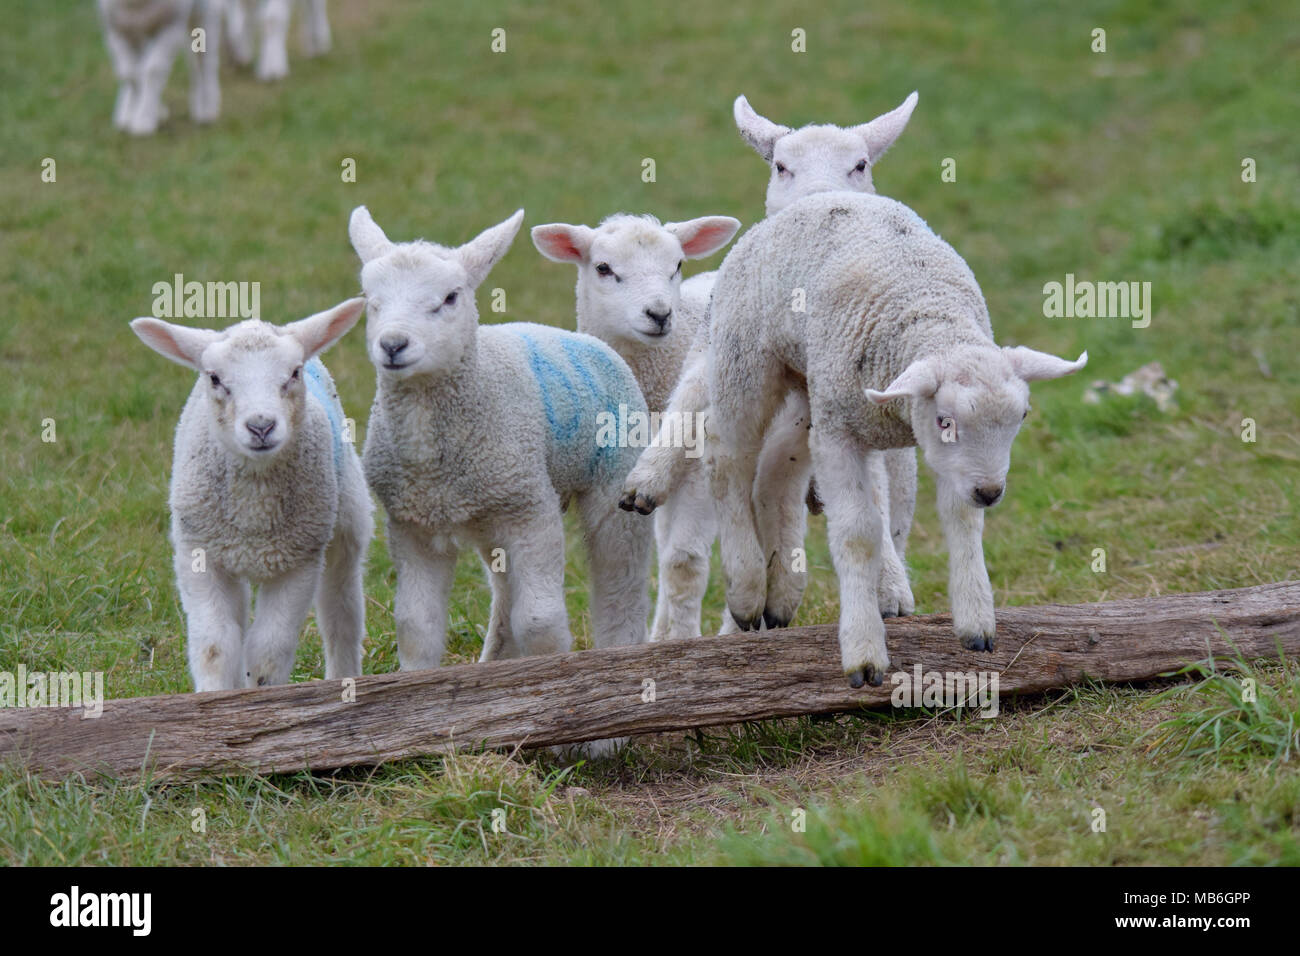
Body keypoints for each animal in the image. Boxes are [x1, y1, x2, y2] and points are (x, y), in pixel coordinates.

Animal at [98, 0, 223, 135]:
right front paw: (152, 112)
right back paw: (124, 113)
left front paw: (143, 120)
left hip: (205, 13)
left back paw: (207, 110)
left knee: (204, 62)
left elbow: (153, 70)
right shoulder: (115, 30)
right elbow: (128, 74)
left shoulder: (171, 25)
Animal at [130, 298, 373, 691]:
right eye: (214, 378)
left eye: (293, 372)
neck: (254, 509)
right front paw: (215, 695)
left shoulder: (299, 560)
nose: (261, 426)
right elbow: (215, 644)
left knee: (342, 617)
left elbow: (268, 650)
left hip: (347, 519)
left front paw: (261, 694)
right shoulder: (199, 555)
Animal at [348, 206, 652, 671]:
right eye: (370, 299)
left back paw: (621, 650)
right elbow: (416, 627)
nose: (393, 344)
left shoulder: (532, 514)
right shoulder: (412, 524)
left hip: (614, 483)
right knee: (507, 594)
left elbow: (540, 621)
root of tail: (588, 339)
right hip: (494, 514)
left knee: (621, 583)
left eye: (450, 297)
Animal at [530, 213, 740, 643]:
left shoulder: (697, 467)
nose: (659, 314)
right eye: (603, 268)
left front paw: (682, 641)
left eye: (677, 265)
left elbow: (684, 562)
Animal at [703, 192, 1087, 687]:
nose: (991, 492)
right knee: (725, 457)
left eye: (1022, 416)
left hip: (810, 388)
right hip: (745, 364)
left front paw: (975, 619)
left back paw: (781, 592)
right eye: (945, 421)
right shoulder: (838, 436)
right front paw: (864, 650)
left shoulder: (953, 464)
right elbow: (857, 534)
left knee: (776, 470)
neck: (931, 314)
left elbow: (962, 519)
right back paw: (747, 587)